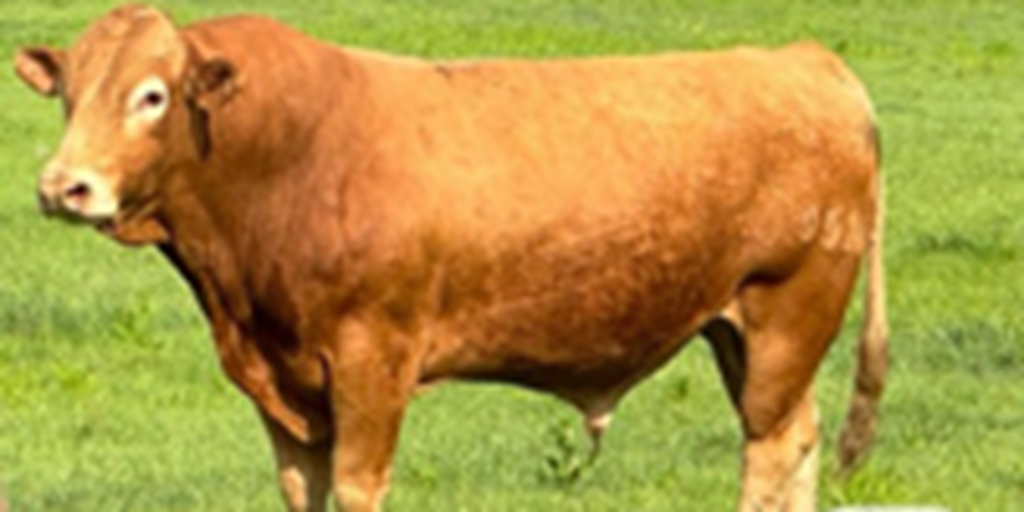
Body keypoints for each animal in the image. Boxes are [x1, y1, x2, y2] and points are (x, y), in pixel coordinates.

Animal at [15, 5, 888, 512]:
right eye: (70, 93)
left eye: (152, 94)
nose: (65, 187)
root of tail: (806, 59)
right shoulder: (278, 378)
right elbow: (302, 488)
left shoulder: (373, 363)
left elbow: (358, 488)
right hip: (737, 328)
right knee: (797, 439)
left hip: (788, 311)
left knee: (773, 449)